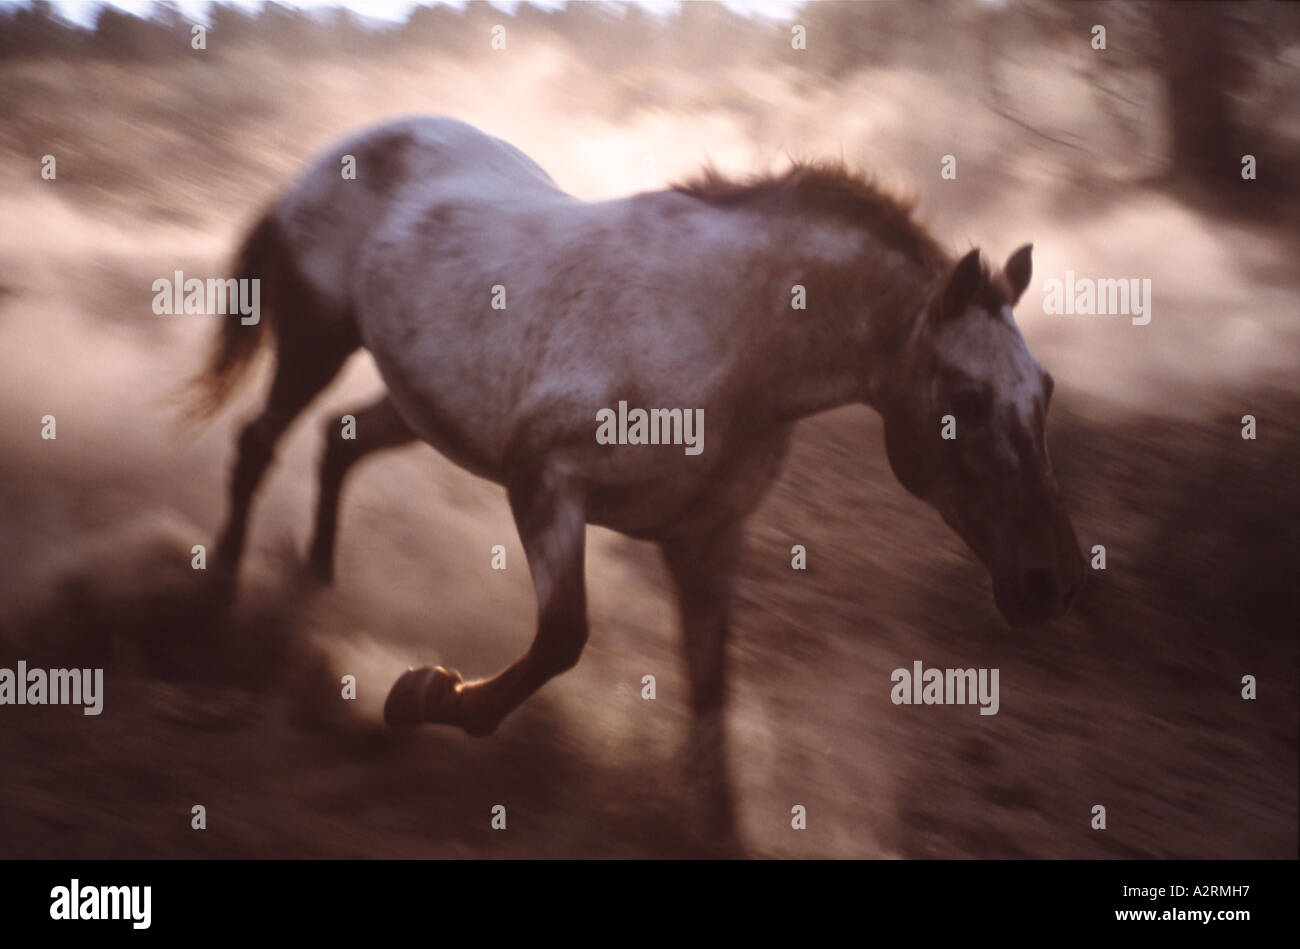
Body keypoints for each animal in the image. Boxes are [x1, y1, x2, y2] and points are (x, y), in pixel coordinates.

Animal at [193, 115, 1085, 840]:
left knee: (337, 445)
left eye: (1042, 391)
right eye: (966, 399)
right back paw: (222, 601)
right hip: (317, 339)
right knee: (257, 445)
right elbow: (562, 637)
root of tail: (332, 157)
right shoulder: (546, 483)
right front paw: (423, 693)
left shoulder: (705, 540)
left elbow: (711, 691)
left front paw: (718, 827)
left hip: (415, 405)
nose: (1053, 580)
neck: (736, 340)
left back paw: (313, 587)